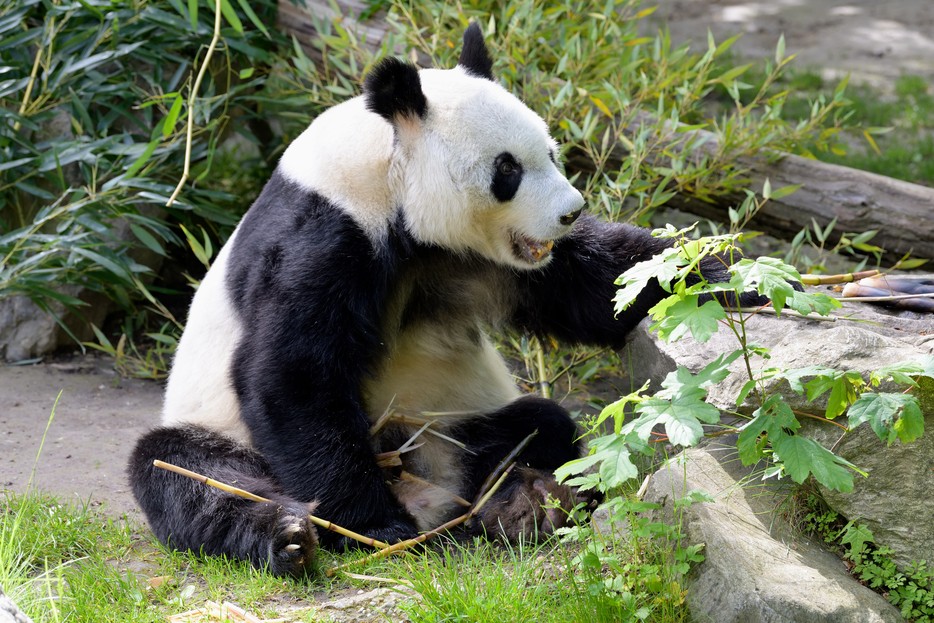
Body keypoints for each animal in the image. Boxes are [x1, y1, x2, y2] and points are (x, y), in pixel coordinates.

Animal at [129, 23, 767, 577]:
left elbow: (592, 283)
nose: (570, 211)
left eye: (552, 154)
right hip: (228, 429)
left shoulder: (471, 257)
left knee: (539, 427)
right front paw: (377, 527)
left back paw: (524, 504)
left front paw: (727, 275)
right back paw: (287, 536)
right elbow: (291, 373)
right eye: (507, 169)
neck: (386, 170)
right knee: (187, 473)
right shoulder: (323, 232)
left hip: (450, 423)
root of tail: (431, 489)